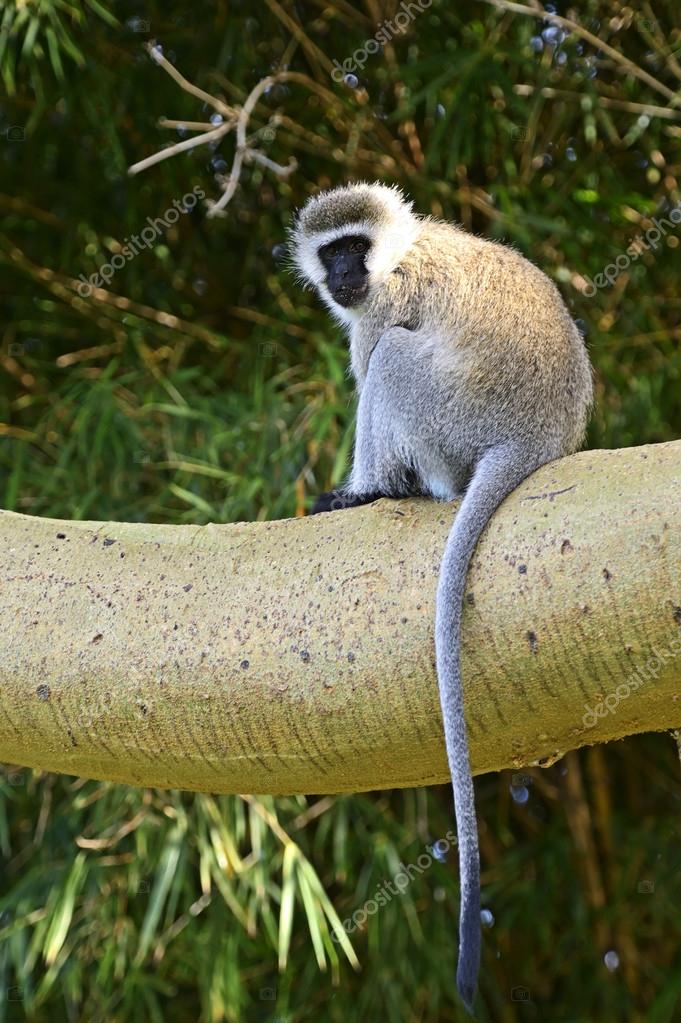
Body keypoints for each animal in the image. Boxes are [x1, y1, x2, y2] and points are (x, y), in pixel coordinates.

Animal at [289, 182, 593, 1013]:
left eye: (354, 248)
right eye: (330, 251)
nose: (343, 276)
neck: (402, 250)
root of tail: (535, 438)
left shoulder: (384, 302)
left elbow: (375, 360)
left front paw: (359, 488)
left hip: (451, 416)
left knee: (393, 361)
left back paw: (386, 489)